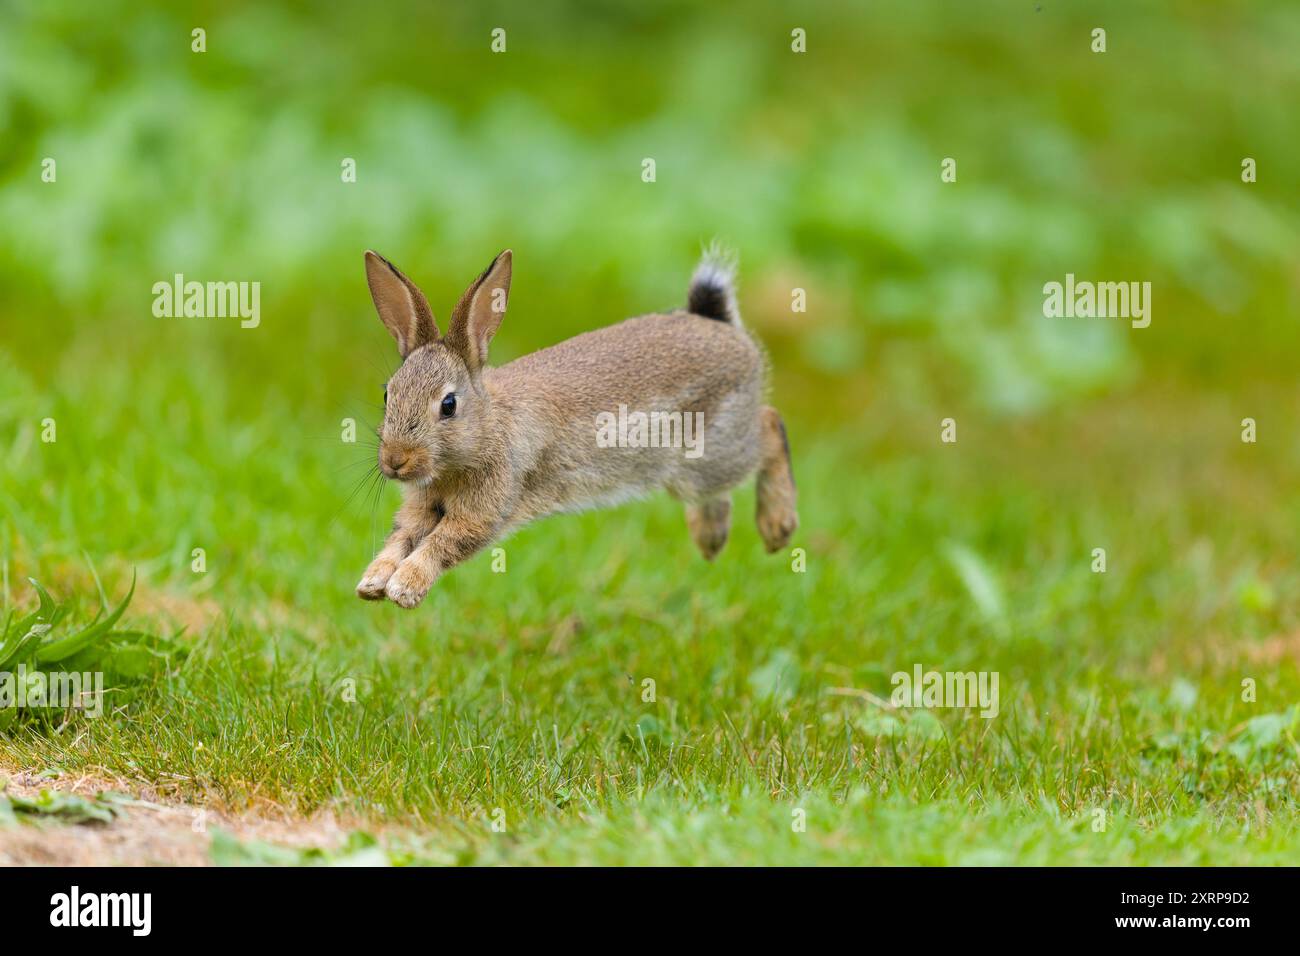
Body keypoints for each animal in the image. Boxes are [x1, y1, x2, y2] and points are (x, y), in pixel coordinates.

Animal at [355, 247, 798, 608]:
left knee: (770, 427)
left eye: (448, 405)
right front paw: (373, 583)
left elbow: (442, 544)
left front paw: (404, 587)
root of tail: (728, 332)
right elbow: (400, 538)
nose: (395, 462)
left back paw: (777, 527)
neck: (488, 427)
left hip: (712, 453)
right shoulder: (420, 507)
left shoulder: (484, 506)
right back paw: (710, 538)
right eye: (387, 394)